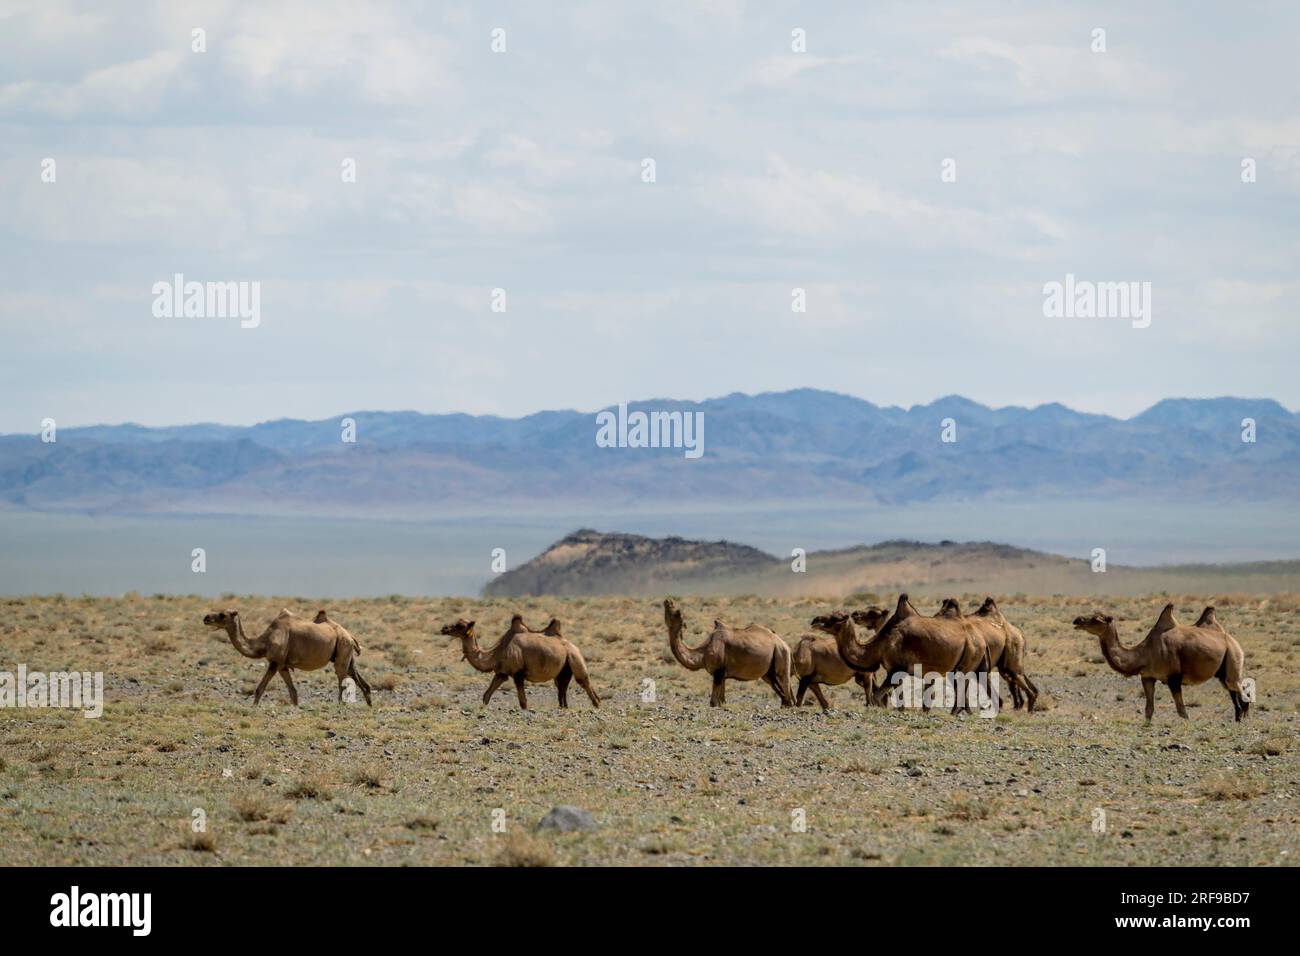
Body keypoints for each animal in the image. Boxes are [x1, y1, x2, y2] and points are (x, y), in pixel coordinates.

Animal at [203, 608, 372, 706]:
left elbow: (260, 688)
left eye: (222, 614)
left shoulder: (275, 662)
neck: (264, 642)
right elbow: (293, 693)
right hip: (346, 653)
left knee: (341, 679)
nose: (205, 618)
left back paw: (339, 706)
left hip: (343, 648)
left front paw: (253, 709)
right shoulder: (282, 666)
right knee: (361, 681)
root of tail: (350, 635)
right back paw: (369, 706)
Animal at [439, 615, 599, 710]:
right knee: (562, 687)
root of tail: (571, 645)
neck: (496, 652)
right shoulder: (502, 673)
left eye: (460, 626)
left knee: (584, 681)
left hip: (575, 658)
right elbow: (486, 695)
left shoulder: (518, 673)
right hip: (563, 669)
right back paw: (563, 707)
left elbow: (523, 702)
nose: (444, 628)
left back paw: (596, 704)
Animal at [663, 599, 794, 707]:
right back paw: (784, 704)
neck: (703, 654)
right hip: (768, 671)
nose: (667, 601)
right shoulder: (722, 675)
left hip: (781, 653)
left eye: (677, 612)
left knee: (785, 682)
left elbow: (713, 703)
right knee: (777, 685)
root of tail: (782, 642)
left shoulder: (718, 672)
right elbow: (722, 700)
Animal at [1072, 604, 1248, 722]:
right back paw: (1238, 719)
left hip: (1233, 655)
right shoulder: (1147, 677)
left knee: (1238, 689)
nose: (1077, 620)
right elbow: (1149, 709)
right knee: (1232, 691)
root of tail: (1233, 640)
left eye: (1096, 619)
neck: (1144, 653)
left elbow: (1182, 710)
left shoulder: (1173, 678)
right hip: (1221, 672)